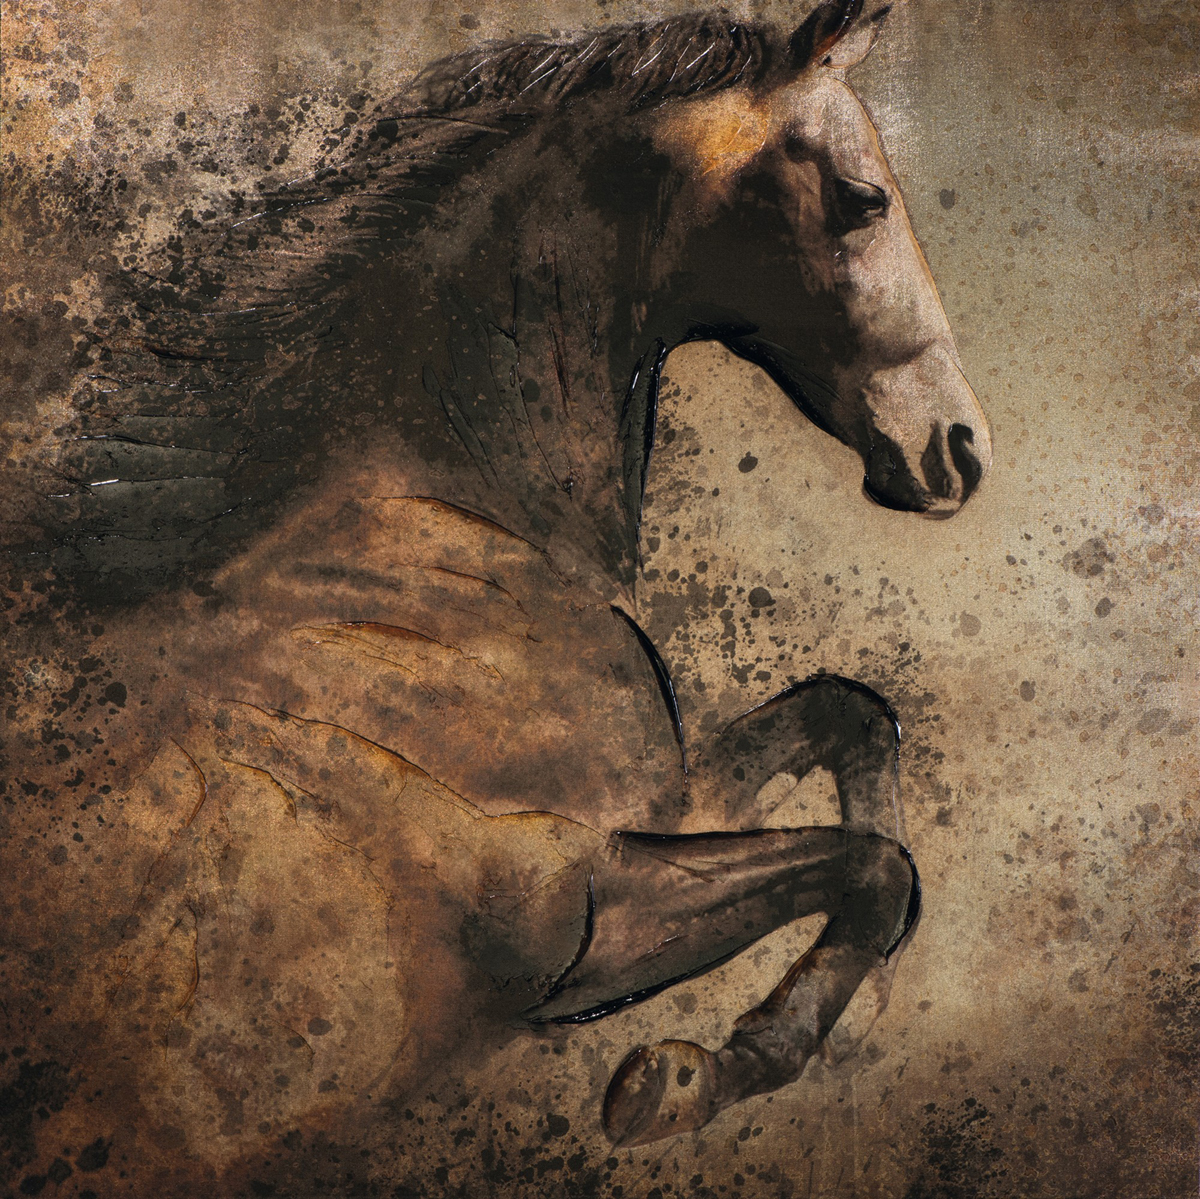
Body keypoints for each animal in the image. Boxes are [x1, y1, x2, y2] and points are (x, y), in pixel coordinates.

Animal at [4, 2, 991, 1190]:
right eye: (864, 199)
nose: (960, 448)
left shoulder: (662, 808)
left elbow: (856, 721)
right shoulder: (576, 920)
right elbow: (873, 864)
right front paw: (681, 1078)